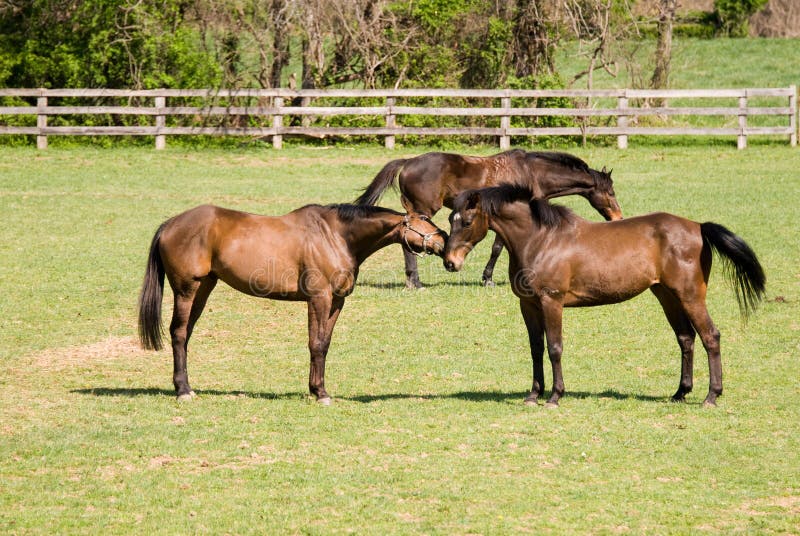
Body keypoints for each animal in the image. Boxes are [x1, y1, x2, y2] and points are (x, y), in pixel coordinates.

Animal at [137, 203, 447, 404]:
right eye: (424, 219)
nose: (445, 240)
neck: (335, 236)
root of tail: (170, 224)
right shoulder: (319, 298)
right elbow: (316, 344)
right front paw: (321, 394)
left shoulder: (337, 301)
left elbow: (324, 344)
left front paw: (315, 388)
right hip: (186, 289)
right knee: (178, 333)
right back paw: (183, 391)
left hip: (204, 288)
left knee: (185, 334)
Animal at [355, 149, 623, 289]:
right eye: (610, 192)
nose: (618, 216)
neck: (532, 173)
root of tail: (408, 162)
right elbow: (497, 248)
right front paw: (488, 279)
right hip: (423, 211)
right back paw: (415, 281)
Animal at [443, 184, 765, 407]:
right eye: (450, 219)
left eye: (467, 221)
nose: (450, 262)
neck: (542, 239)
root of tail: (698, 227)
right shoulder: (529, 305)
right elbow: (536, 349)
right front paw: (533, 395)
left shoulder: (551, 302)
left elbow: (554, 348)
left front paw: (555, 396)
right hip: (666, 295)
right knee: (686, 338)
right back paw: (680, 393)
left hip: (690, 296)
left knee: (711, 336)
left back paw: (711, 396)